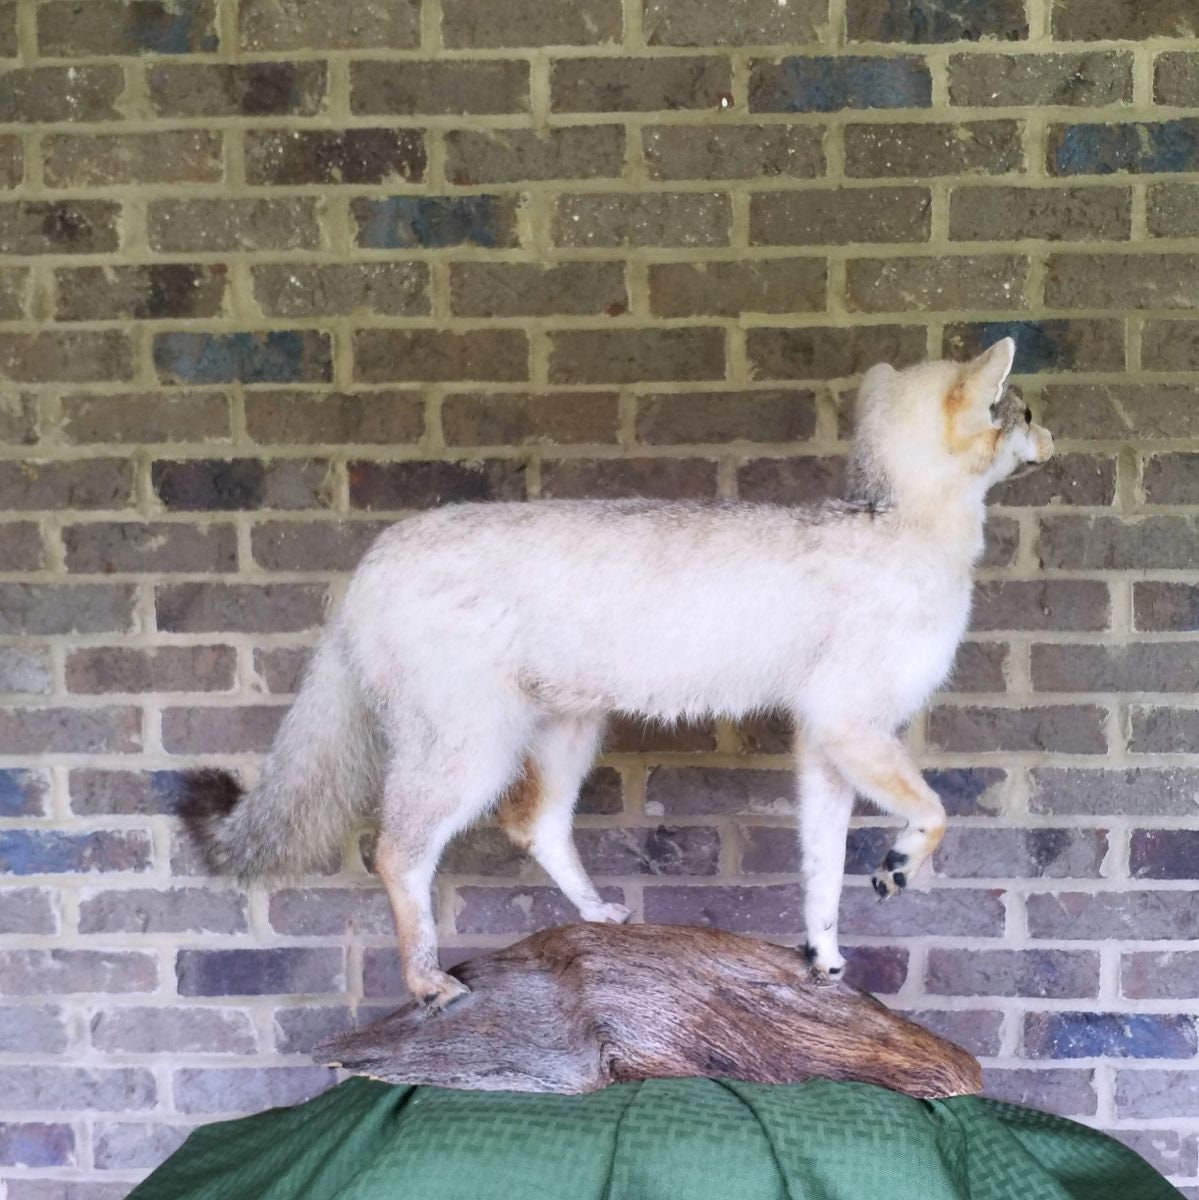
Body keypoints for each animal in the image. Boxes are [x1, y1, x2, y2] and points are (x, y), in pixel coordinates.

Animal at [184, 337, 1053, 1010]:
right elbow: (934, 814)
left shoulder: (823, 743)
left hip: (566, 738)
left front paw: (822, 958)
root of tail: (373, 557)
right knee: (395, 854)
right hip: (471, 756)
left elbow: (821, 875)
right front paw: (900, 863)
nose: (1059, 438)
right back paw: (426, 980)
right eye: (1024, 413)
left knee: (531, 825)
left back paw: (594, 914)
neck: (894, 523)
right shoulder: (851, 725)